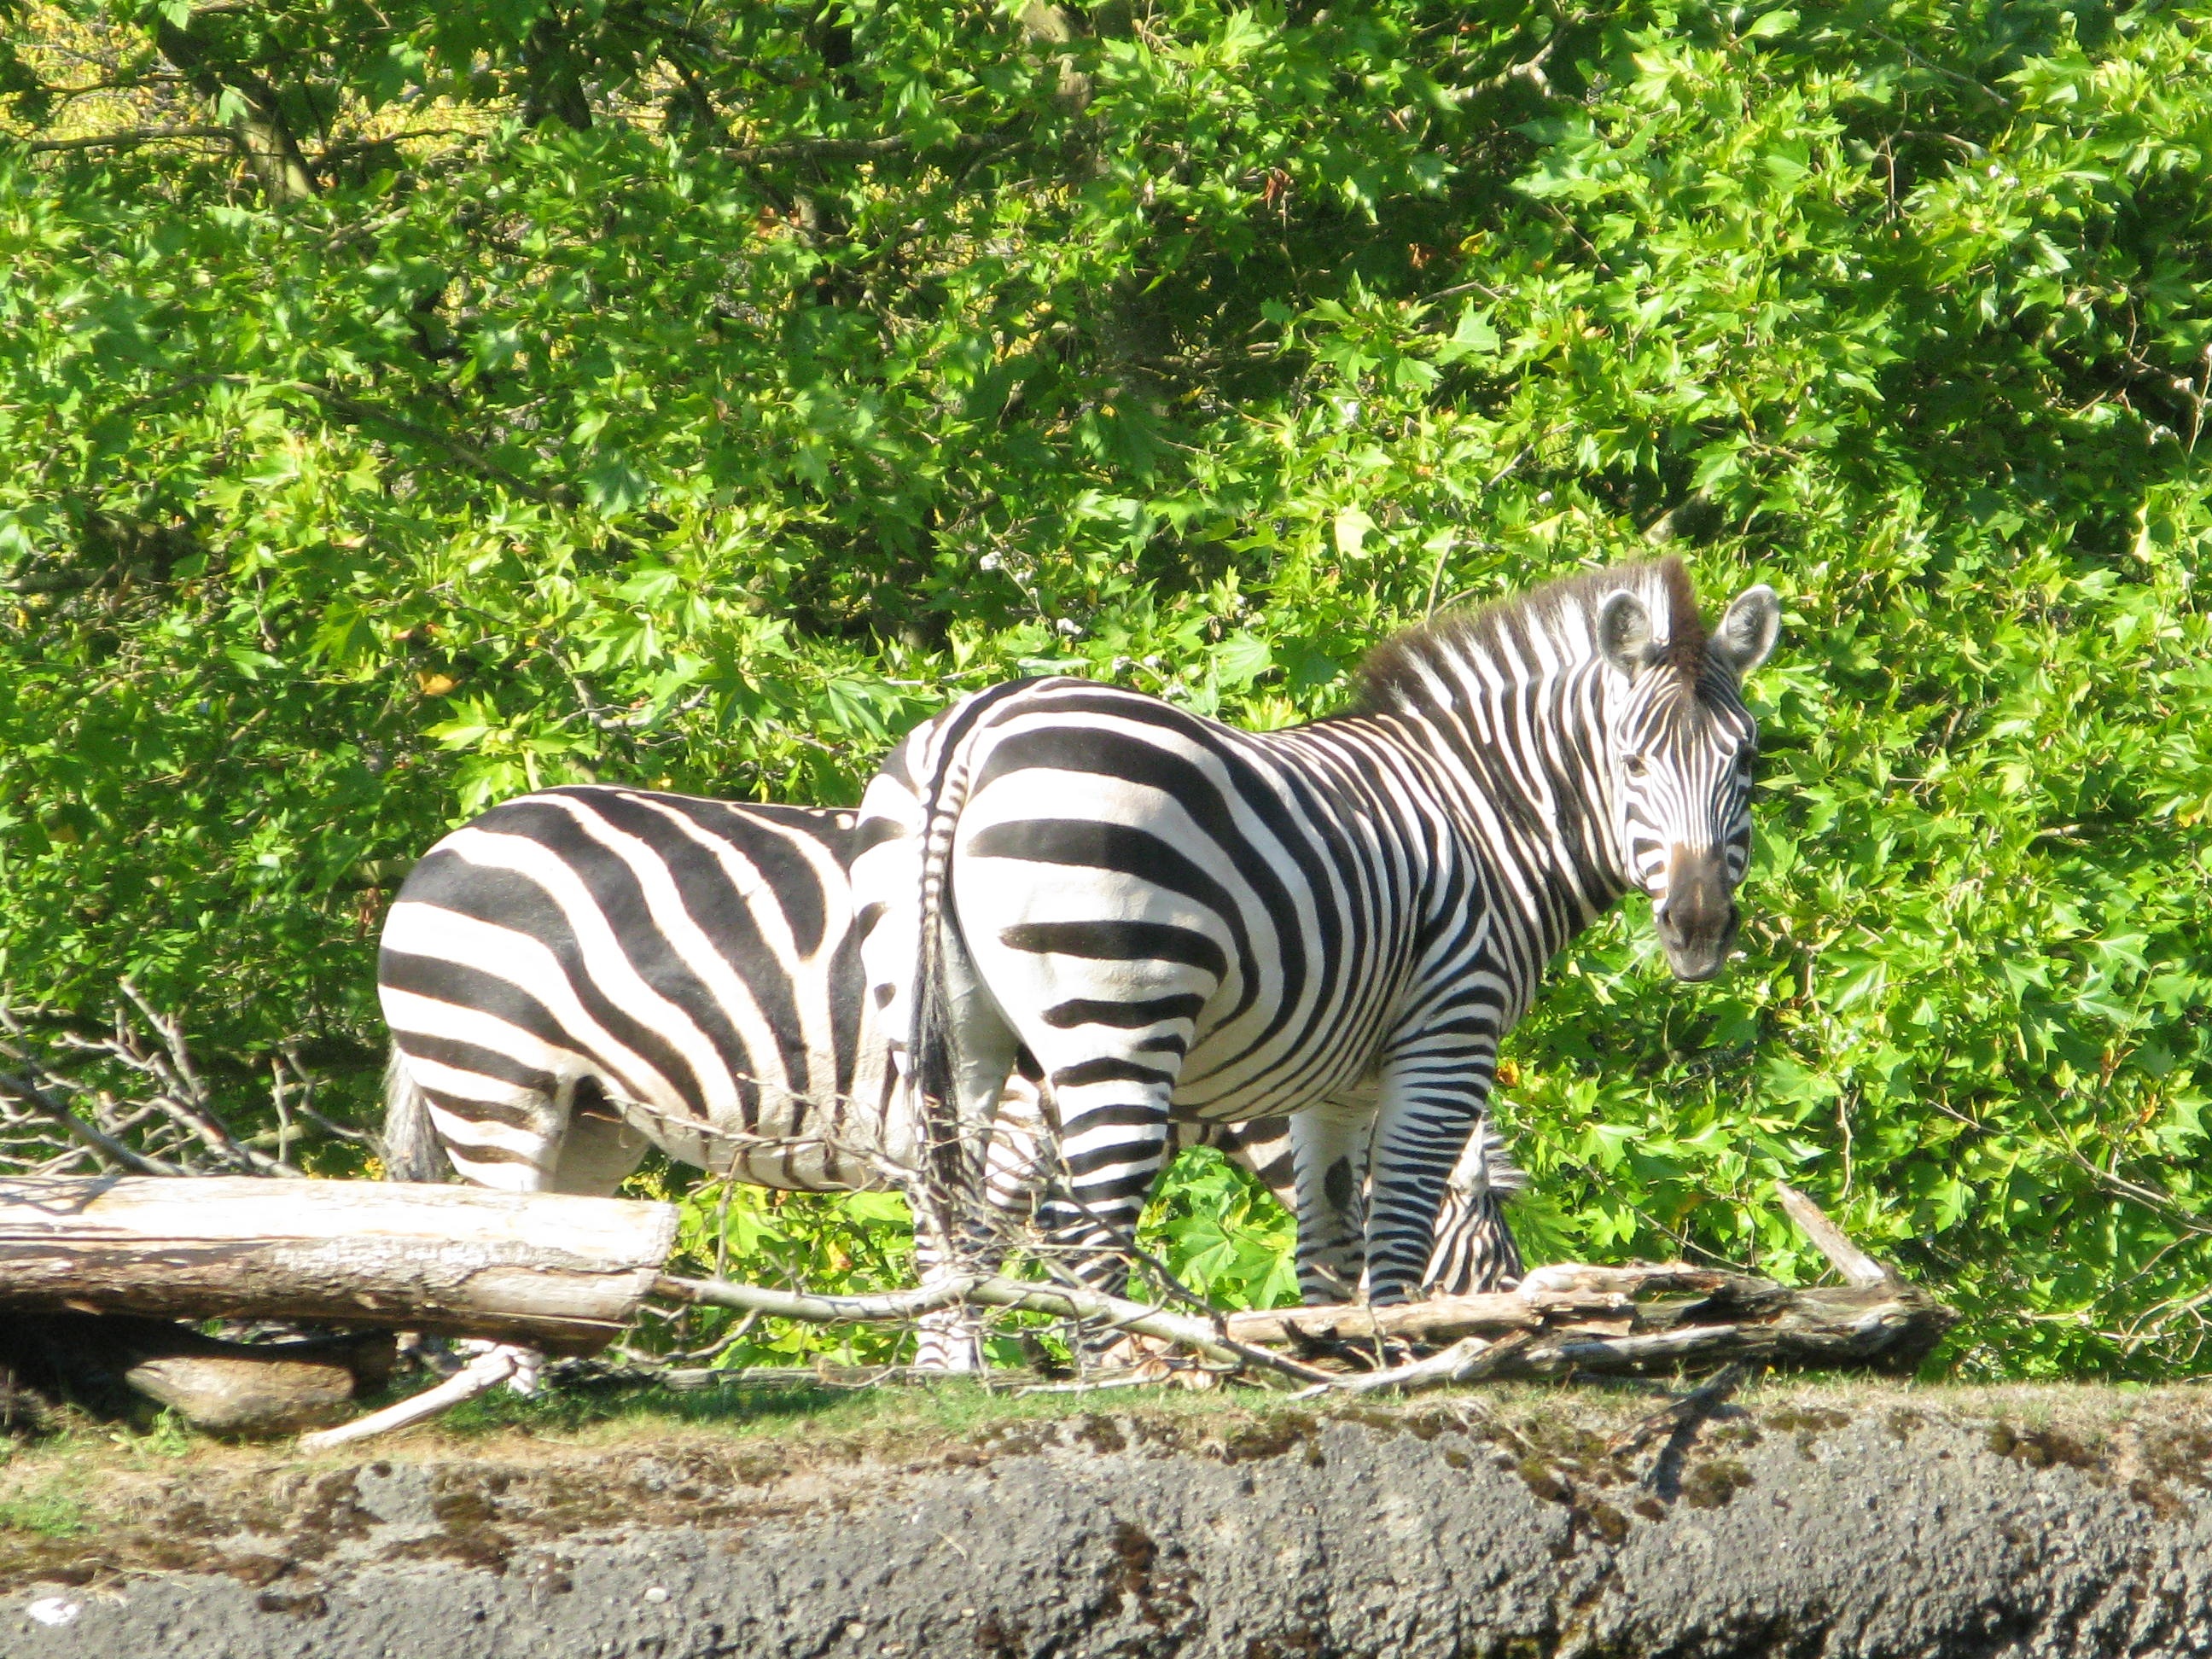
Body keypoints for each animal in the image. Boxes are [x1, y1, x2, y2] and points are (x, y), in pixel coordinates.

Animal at [375, 791, 1522, 1380]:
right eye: (1491, 1211)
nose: (1516, 1333)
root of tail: (450, 839)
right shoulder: (1027, 1111)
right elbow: (1012, 1237)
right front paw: (1012, 1365)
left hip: (595, 1118)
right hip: (494, 1068)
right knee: (495, 1239)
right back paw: (512, 1389)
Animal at [858, 559, 1778, 1309]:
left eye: (1746, 764)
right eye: (1632, 764)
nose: (1698, 927)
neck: (1490, 813)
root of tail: (974, 728)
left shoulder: (1337, 1077)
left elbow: (1329, 1245)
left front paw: (1338, 1352)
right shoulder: (1450, 1032)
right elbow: (1399, 1232)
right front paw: (1398, 1359)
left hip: (957, 1032)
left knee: (950, 1228)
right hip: (1115, 1018)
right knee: (1087, 1233)